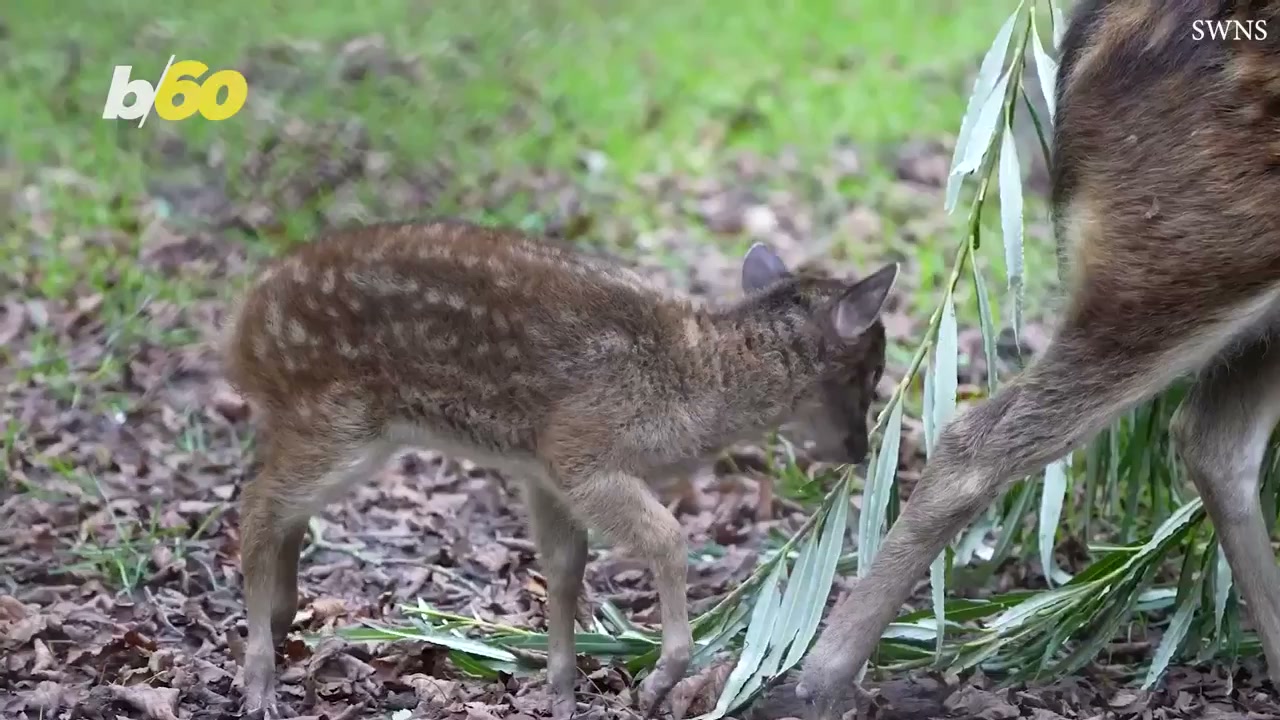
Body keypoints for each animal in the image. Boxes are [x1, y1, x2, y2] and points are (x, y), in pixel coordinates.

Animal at [221, 217, 898, 719]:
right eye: (870, 372)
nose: (862, 451)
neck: (695, 383)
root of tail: (243, 331)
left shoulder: (541, 471)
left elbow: (565, 570)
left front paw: (564, 694)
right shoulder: (580, 451)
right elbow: (669, 539)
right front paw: (659, 680)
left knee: (285, 510)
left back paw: (279, 623)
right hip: (339, 417)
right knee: (258, 504)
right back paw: (258, 683)